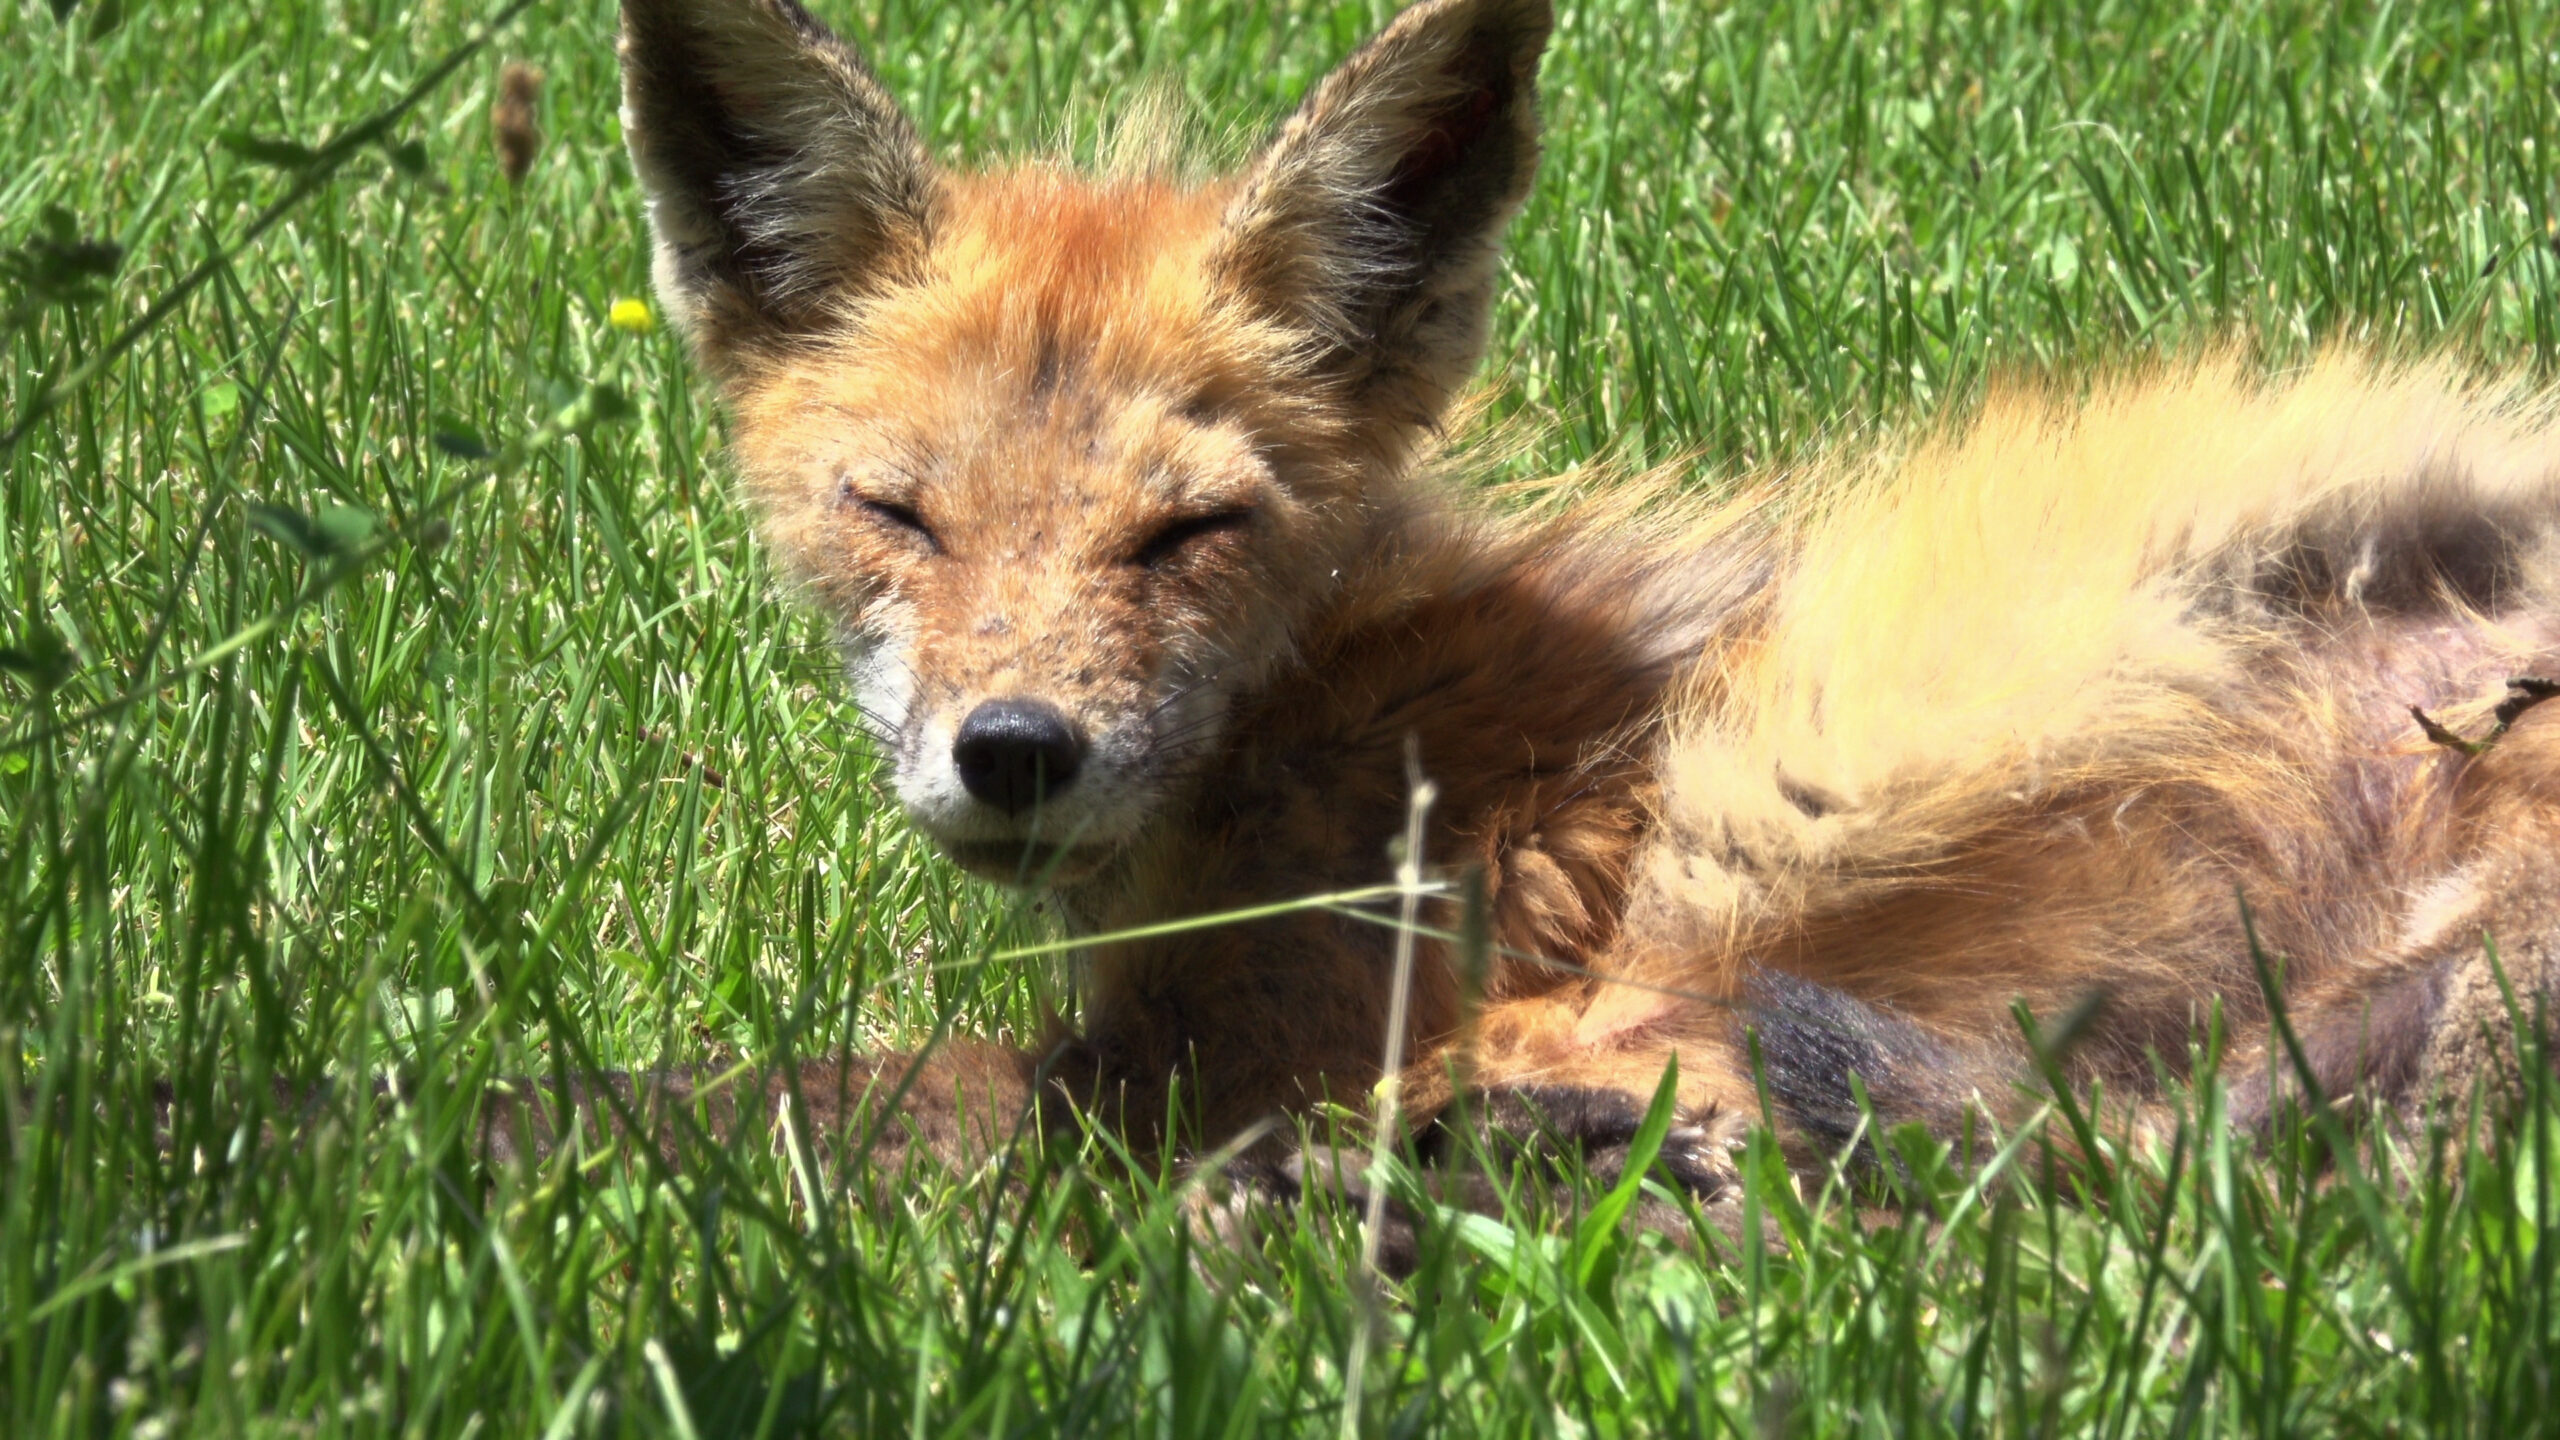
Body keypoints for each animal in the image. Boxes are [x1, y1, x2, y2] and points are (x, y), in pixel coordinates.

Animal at [549, 0, 2560, 1217]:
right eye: (898, 513)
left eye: (1186, 532)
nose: (1017, 752)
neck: (1331, 711)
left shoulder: (1203, 1051)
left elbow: (723, 1097)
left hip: (1828, 770)